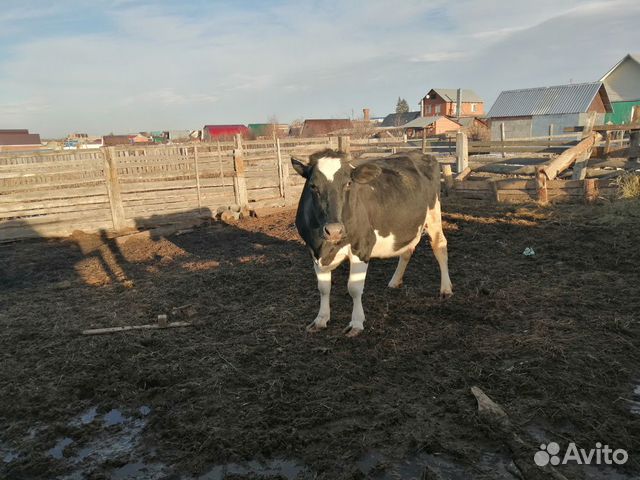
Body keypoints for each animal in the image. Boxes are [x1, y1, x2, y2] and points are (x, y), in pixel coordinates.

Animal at [291, 148, 452, 337]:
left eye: (348, 183)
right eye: (313, 186)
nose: (334, 230)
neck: (327, 248)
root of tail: (421, 153)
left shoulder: (362, 246)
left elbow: (354, 288)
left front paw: (356, 323)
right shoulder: (314, 250)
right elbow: (323, 287)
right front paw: (321, 319)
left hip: (434, 214)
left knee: (440, 246)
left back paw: (446, 289)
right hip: (408, 224)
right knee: (407, 249)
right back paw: (395, 281)